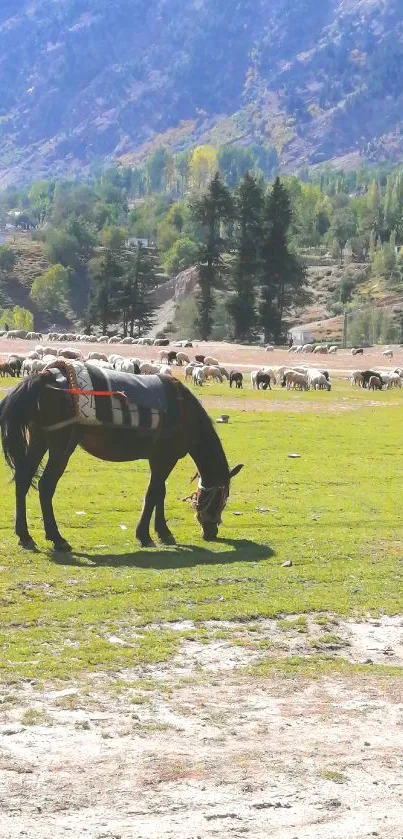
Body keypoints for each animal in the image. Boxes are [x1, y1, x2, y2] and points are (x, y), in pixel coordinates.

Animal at [0, 368, 243, 552]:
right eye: (223, 499)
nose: (212, 532)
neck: (186, 413)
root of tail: (46, 375)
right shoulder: (165, 458)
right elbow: (154, 492)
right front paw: (145, 535)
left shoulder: (158, 458)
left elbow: (159, 492)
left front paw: (162, 532)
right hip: (61, 447)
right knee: (45, 485)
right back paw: (57, 539)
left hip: (39, 440)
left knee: (23, 480)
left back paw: (25, 536)